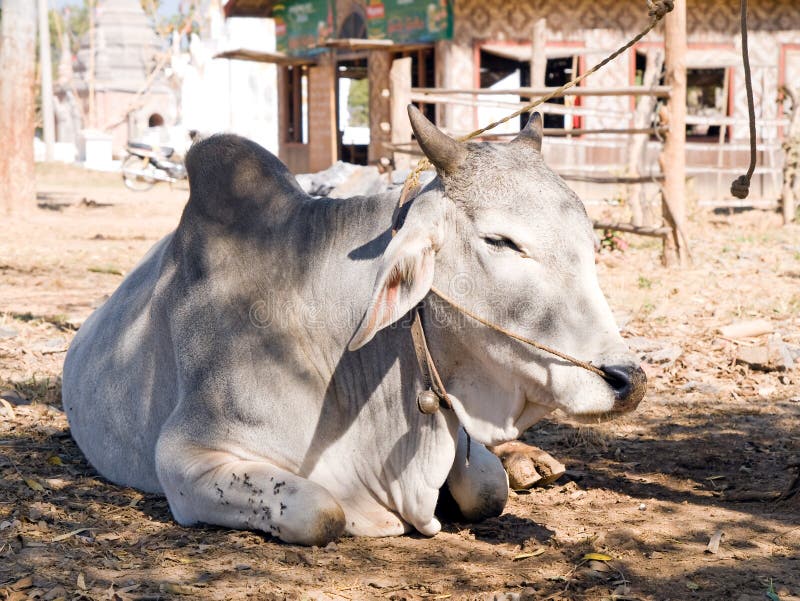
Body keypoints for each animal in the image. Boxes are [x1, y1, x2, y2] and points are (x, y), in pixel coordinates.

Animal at [62, 107, 645, 546]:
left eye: (589, 241)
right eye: (500, 241)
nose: (628, 379)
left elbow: (487, 487)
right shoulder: (186, 457)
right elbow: (321, 512)